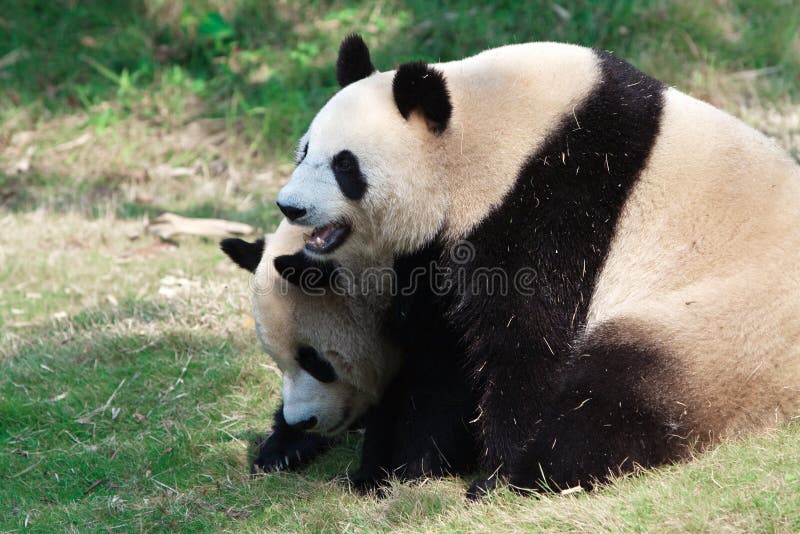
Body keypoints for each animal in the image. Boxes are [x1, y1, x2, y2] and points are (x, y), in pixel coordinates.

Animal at [221, 219, 477, 486]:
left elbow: (442, 384)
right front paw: (279, 452)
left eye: (314, 361)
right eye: (279, 363)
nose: (303, 421)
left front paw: (407, 470)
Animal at [275, 35, 800, 498]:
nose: (289, 206)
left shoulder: (555, 202)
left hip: (726, 331)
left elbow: (530, 339)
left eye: (346, 166)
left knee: (621, 386)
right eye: (304, 151)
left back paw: (539, 475)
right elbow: (444, 357)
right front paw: (398, 470)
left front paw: (492, 477)